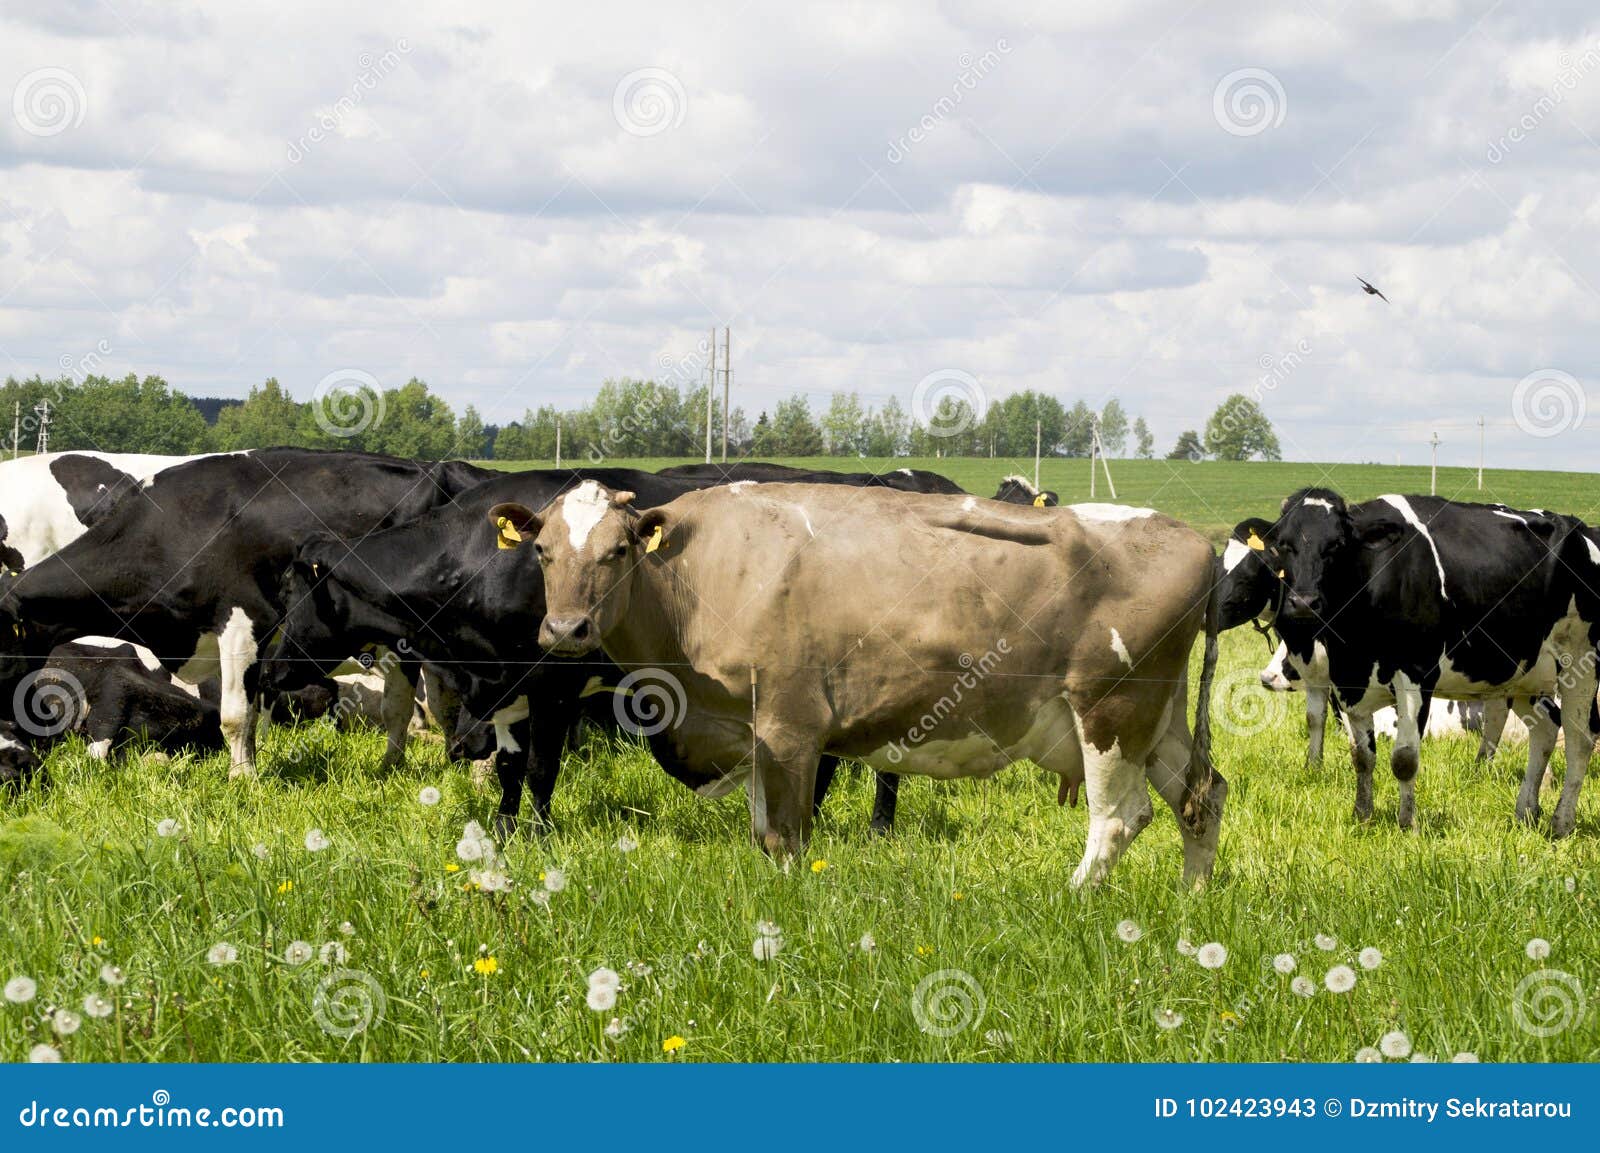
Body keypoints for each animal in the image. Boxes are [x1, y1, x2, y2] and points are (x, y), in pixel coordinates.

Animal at [0, 448, 492, 779]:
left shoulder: (243, 621)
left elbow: (235, 715)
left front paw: (242, 779)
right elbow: (253, 714)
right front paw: (249, 768)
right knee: (423, 703)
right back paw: (401, 765)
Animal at [493, 480, 1226, 887]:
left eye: (618, 551)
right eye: (542, 552)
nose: (566, 628)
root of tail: (1195, 538)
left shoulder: (790, 724)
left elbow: (785, 836)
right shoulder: (753, 730)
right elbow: (761, 830)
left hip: (1111, 707)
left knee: (1119, 818)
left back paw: (1072, 898)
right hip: (1158, 718)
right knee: (1202, 796)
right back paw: (1192, 900)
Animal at [1261, 487, 1600, 835]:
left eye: (1337, 544)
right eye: (1283, 544)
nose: (1304, 602)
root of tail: (1578, 528)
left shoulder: (1415, 674)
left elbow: (1404, 758)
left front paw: (1408, 824)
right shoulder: (1347, 678)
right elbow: (1362, 756)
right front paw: (1363, 816)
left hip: (1581, 662)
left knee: (1580, 739)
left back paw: (1562, 823)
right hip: (1525, 673)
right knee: (1545, 729)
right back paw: (1526, 812)